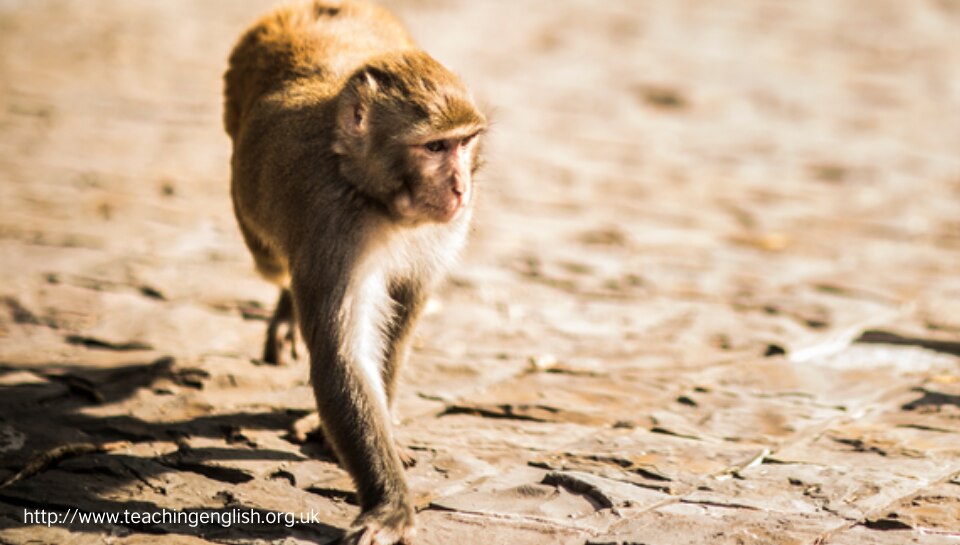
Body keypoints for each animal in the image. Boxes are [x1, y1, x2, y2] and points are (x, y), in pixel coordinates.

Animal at [223, 1, 485, 543]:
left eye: (465, 143)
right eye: (435, 148)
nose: (460, 189)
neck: (373, 197)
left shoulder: (443, 230)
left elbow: (398, 321)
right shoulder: (331, 224)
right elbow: (342, 352)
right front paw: (390, 504)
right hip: (251, 219)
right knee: (274, 264)